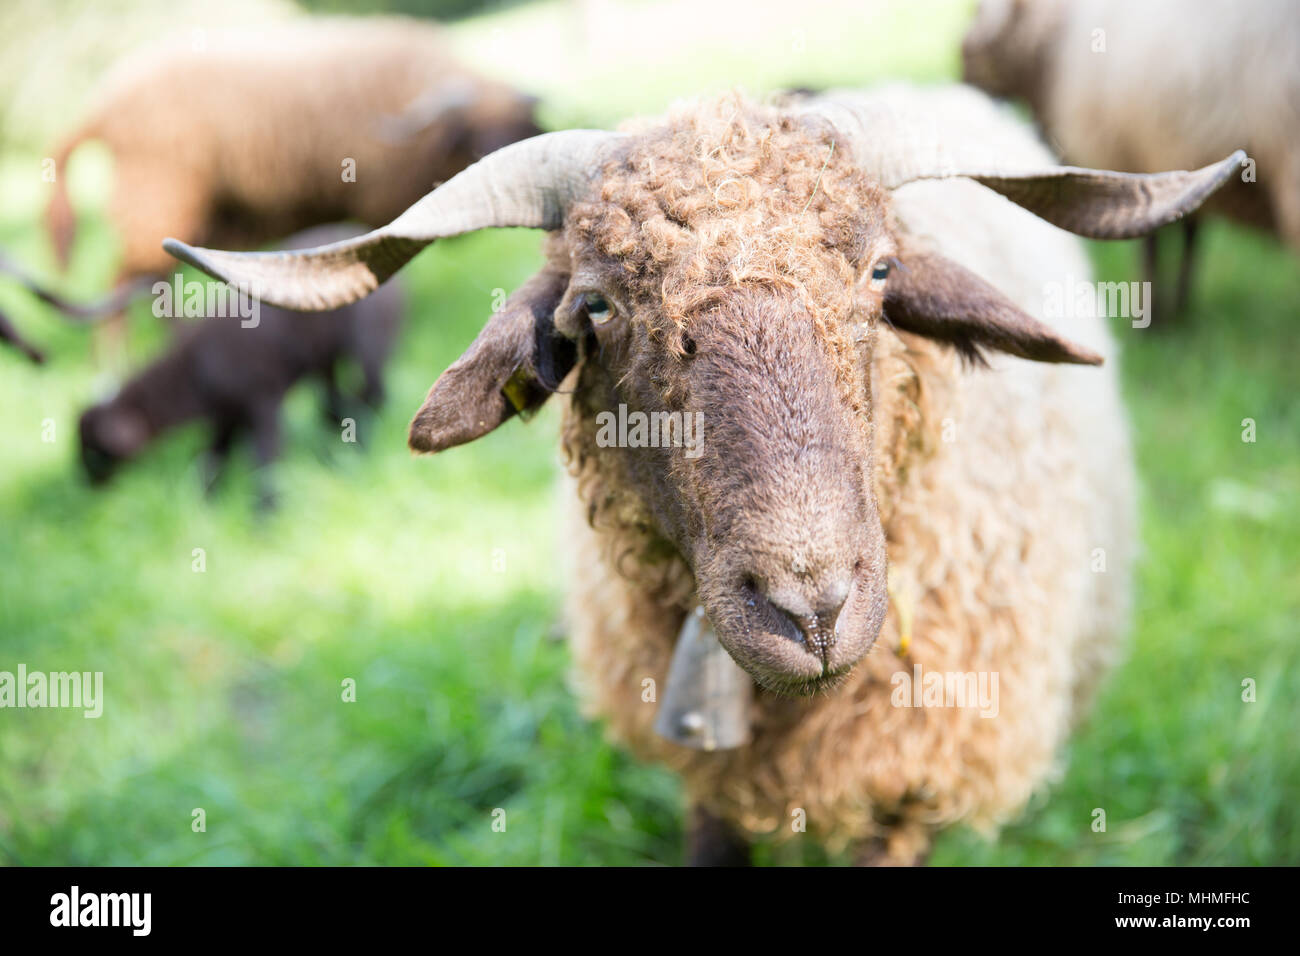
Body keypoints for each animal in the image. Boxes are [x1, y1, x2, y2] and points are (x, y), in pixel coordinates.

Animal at [78, 225, 404, 506]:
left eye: (95, 453)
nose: (87, 488)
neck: (191, 373)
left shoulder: (262, 400)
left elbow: (265, 460)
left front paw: (265, 517)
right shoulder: (226, 414)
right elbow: (213, 457)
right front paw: (205, 504)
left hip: (369, 341)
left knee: (373, 394)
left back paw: (359, 450)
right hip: (323, 359)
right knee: (334, 400)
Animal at [961, 0, 1299, 320]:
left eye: (970, 49)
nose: (965, 85)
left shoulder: (1131, 157)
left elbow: (1152, 246)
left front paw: (1151, 316)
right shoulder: (1176, 156)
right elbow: (1190, 236)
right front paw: (1179, 310)